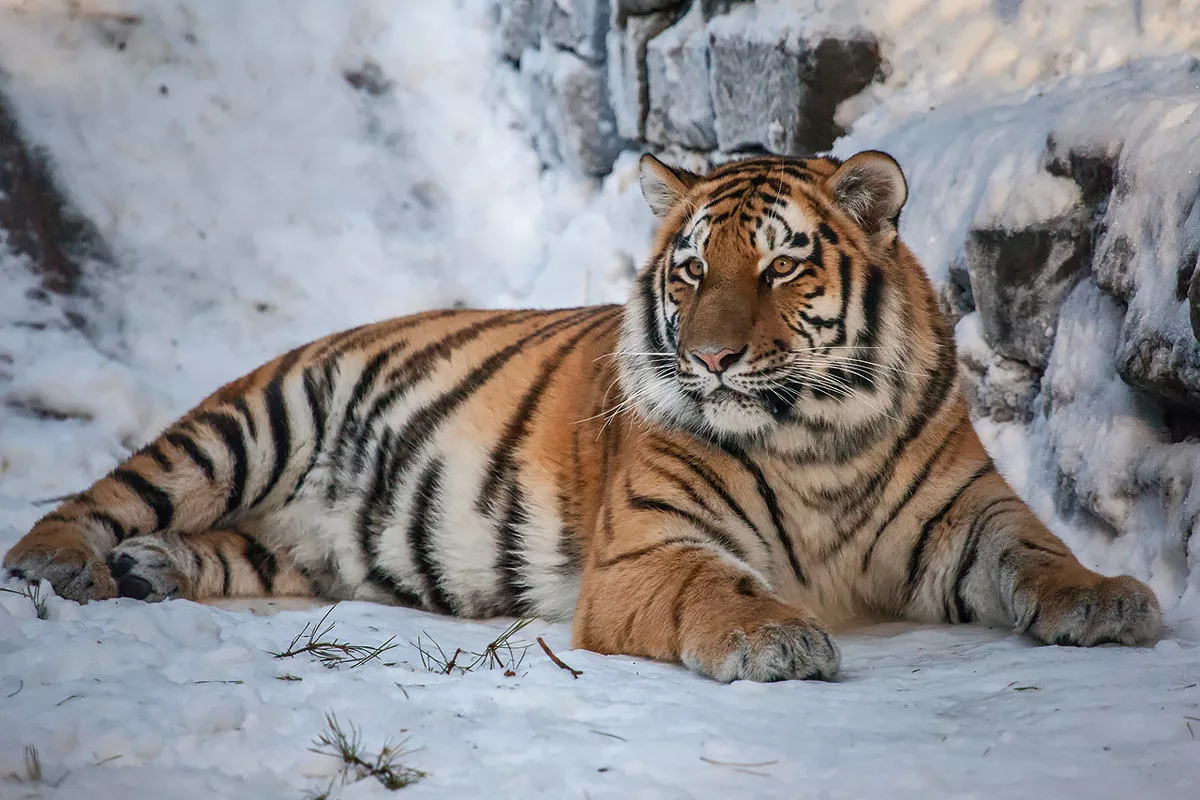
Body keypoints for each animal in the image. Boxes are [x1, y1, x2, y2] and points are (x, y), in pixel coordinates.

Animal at [2, 149, 1161, 681]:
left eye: (781, 264)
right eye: (692, 270)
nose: (712, 357)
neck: (815, 435)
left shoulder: (968, 514)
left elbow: (1038, 553)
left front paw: (1107, 600)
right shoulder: (649, 549)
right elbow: (717, 587)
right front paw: (777, 635)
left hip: (302, 545)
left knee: (234, 549)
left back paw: (155, 567)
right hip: (250, 421)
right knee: (100, 495)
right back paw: (62, 565)